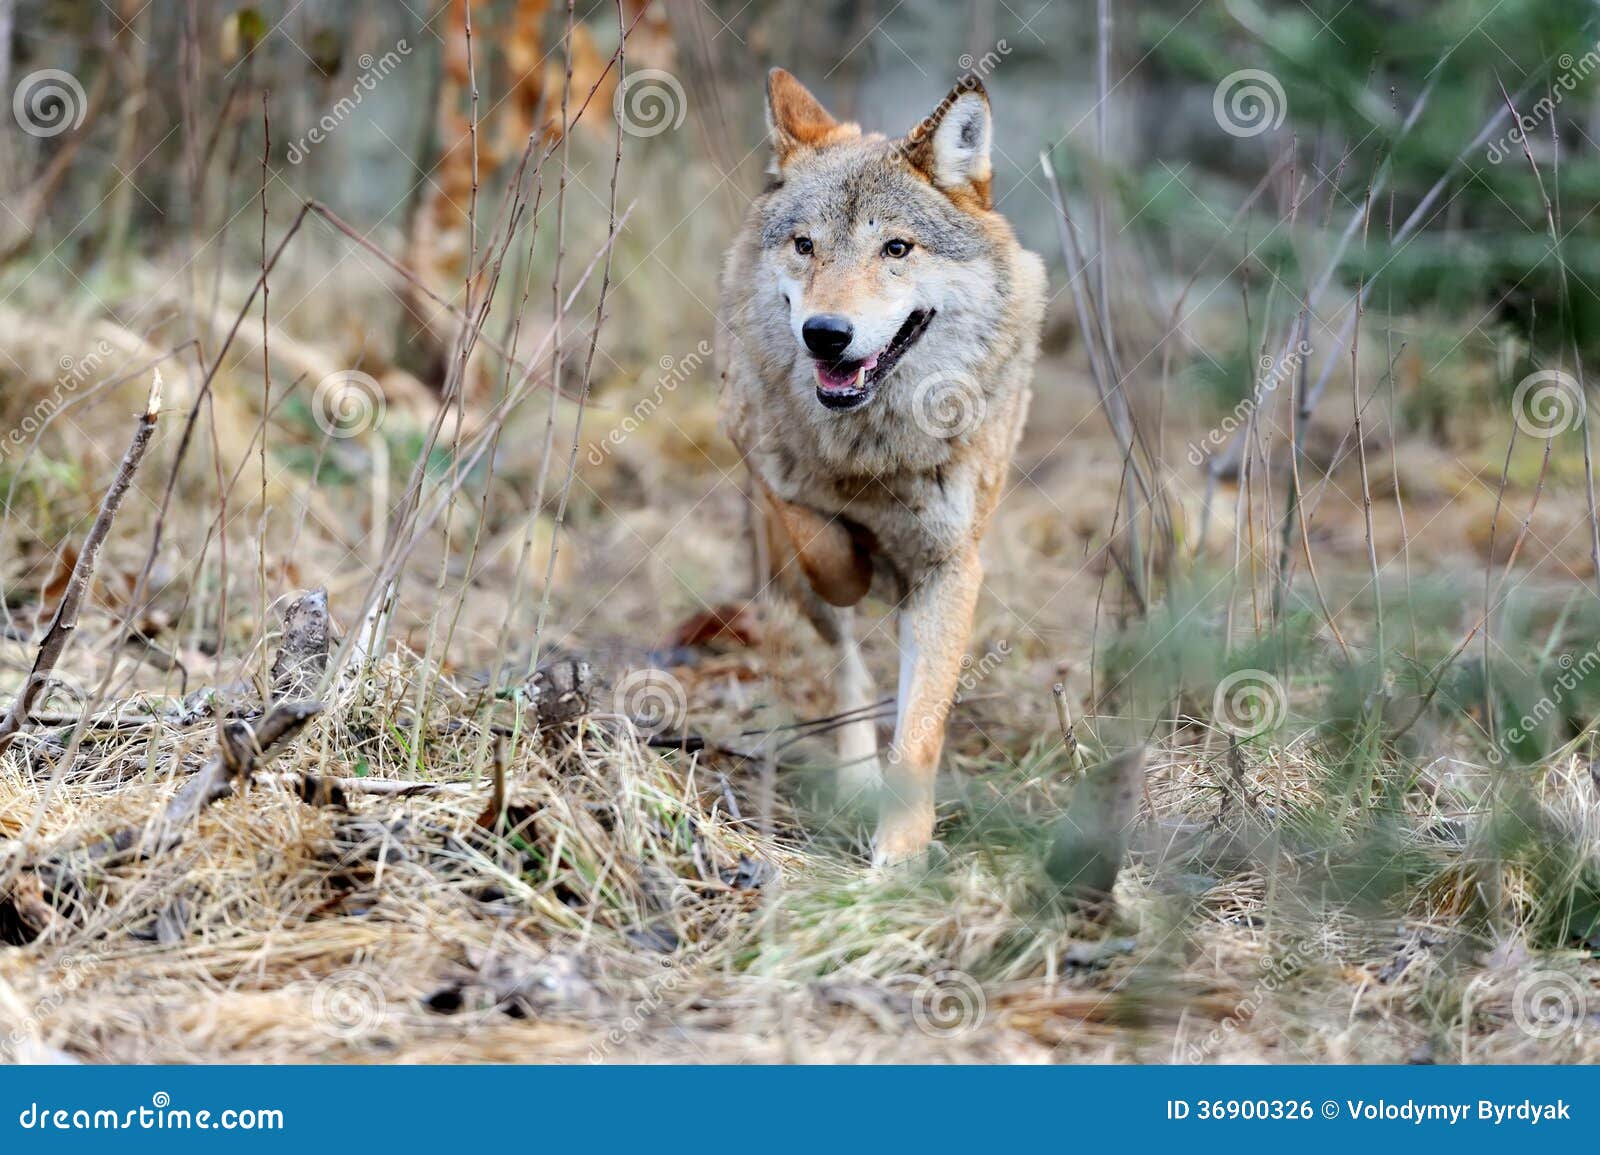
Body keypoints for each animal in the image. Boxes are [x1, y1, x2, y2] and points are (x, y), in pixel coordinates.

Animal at [718, 68, 1046, 865]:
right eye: (805, 245)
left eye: (896, 248)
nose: (825, 334)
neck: (876, 449)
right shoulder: (765, 471)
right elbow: (825, 547)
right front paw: (856, 557)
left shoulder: (952, 567)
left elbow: (921, 728)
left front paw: (898, 860)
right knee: (844, 662)